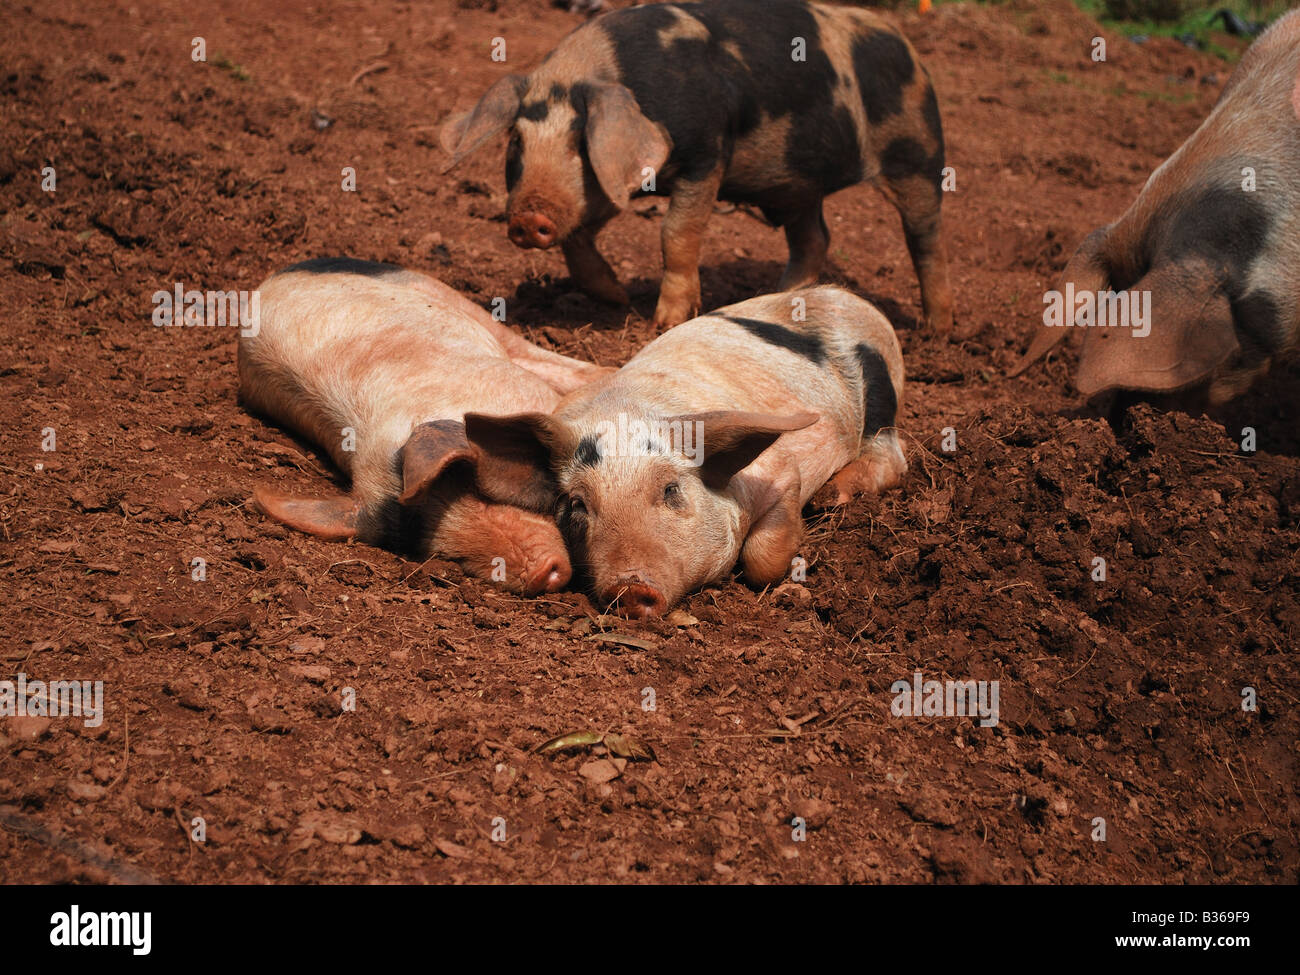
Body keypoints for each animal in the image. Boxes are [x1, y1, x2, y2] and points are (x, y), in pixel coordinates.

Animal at [440, 0, 952, 331]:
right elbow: (580, 235)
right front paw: (617, 297)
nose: (528, 218)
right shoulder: (612, 183)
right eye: (515, 142)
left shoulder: (707, 155)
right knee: (815, 238)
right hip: (797, 184)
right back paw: (771, 299)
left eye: (579, 143)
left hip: (918, 153)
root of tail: (910, 50)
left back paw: (936, 332)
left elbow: (677, 235)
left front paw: (665, 323)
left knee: (925, 239)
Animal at [460, 285, 907, 617]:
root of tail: (843, 295)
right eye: (576, 505)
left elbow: (762, 561)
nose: (631, 587)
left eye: (671, 490)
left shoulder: (781, 470)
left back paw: (831, 499)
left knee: (893, 454)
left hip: (880, 383)